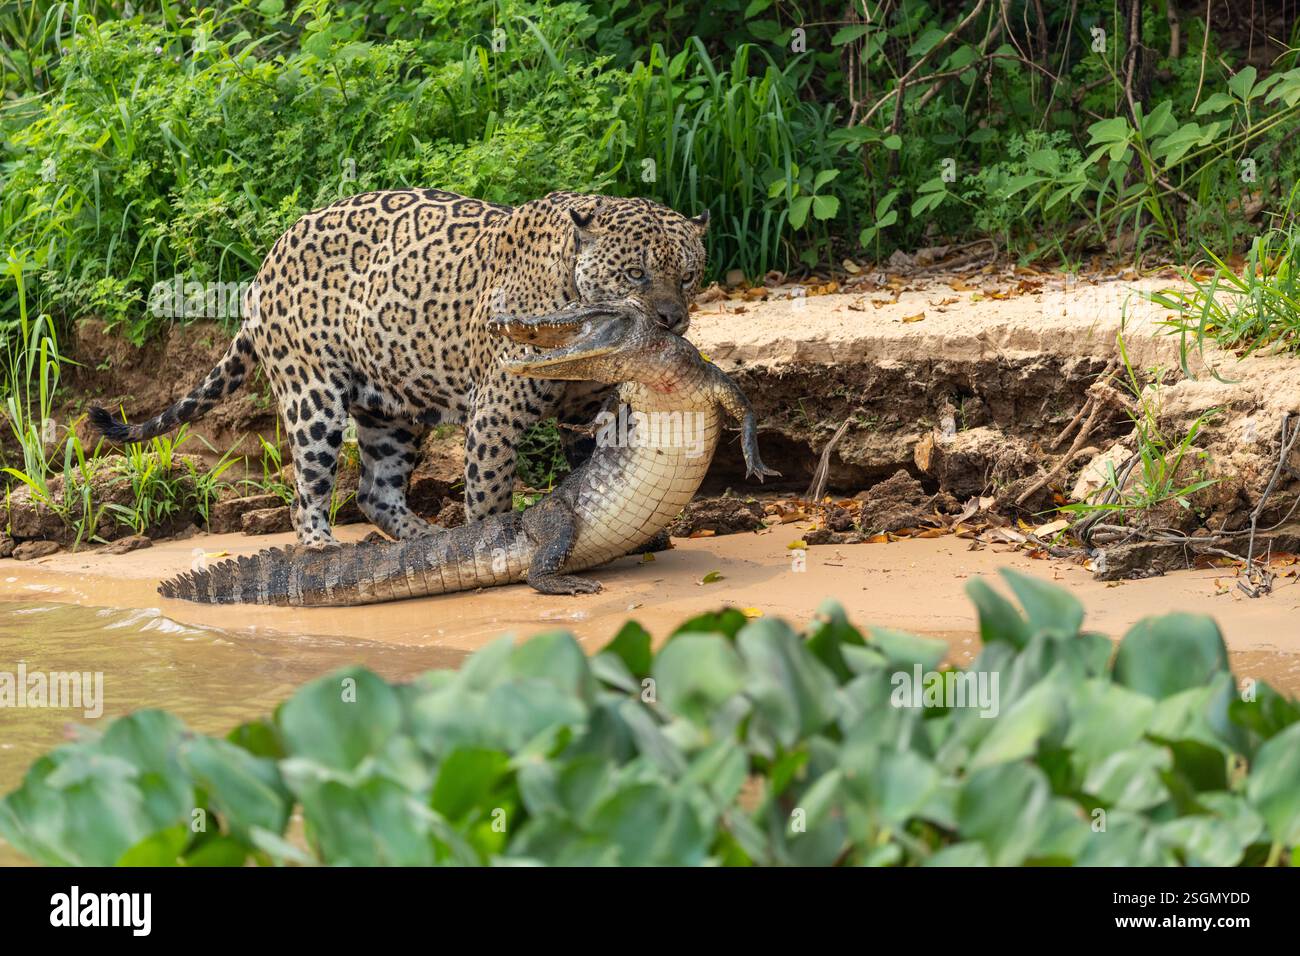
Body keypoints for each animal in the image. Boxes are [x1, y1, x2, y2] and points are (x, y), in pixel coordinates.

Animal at [89, 189, 709, 548]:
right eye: (634, 274)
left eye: (689, 275)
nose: (672, 319)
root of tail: (267, 263)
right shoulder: (496, 412)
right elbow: (489, 490)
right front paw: (486, 540)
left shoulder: (588, 408)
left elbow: (596, 472)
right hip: (312, 399)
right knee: (306, 492)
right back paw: (323, 549)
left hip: (392, 411)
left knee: (374, 492)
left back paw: (419, 540)